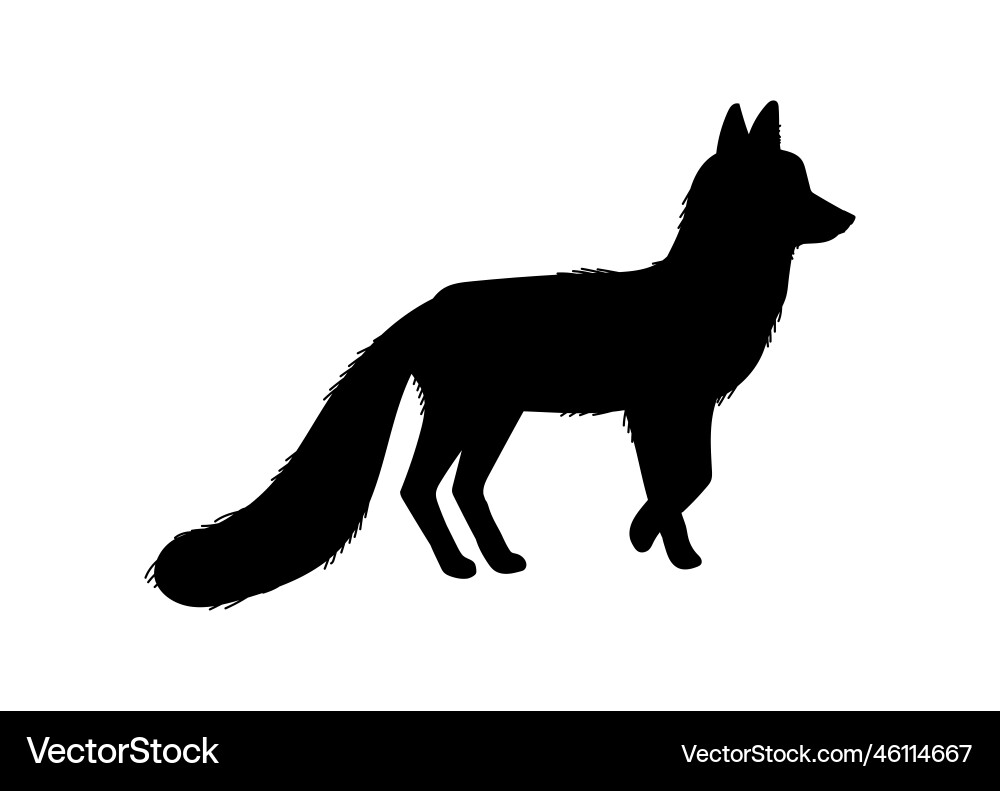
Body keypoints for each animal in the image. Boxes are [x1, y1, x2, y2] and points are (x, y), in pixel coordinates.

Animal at [149, 101, 854, 608]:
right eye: (789, 189)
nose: (847, 217)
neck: (705, 289)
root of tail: (424, 310)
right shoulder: (661, 409)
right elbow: (684, 481)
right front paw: (648, 538)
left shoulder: (683, 410)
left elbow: (687, 480)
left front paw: (668, 550)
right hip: (467, 415)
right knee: (419, 486)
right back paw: (461, 567)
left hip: (494, 419)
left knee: (461, 487)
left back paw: (497, 561)